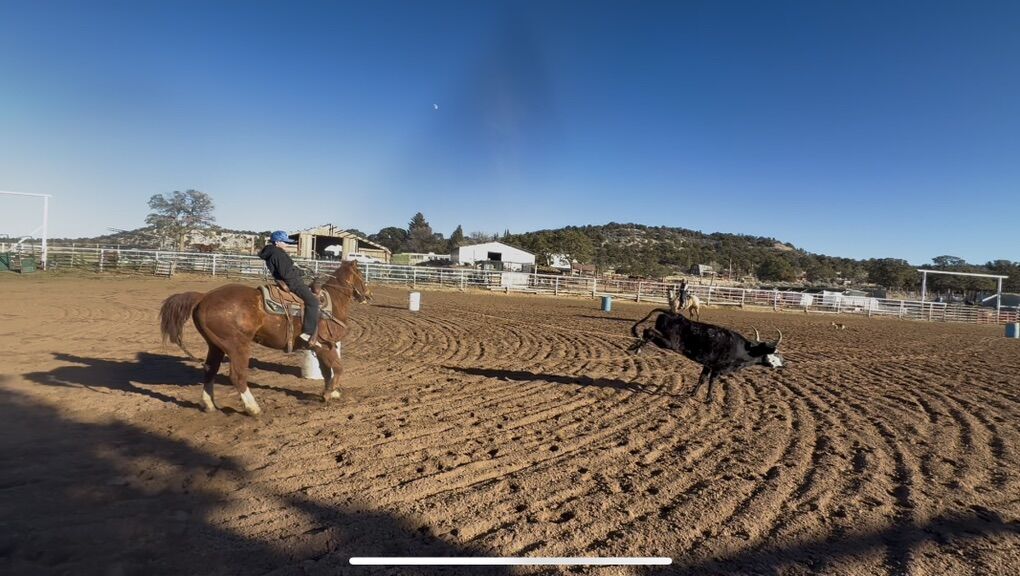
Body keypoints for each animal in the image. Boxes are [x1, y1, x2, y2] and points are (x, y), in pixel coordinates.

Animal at [159, 260, 371, 416]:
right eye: (361, 275)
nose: (368, 295)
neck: (332, 303)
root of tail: (203, 297)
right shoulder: (325, 345)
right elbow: (338, 368)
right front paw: (329, 393)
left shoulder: (319, 347)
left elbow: (327, 371)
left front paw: (331, 391)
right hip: (237, 346)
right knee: (237, 376)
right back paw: (253, 408)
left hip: (215, 346)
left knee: (210, 370)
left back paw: (210, 405)